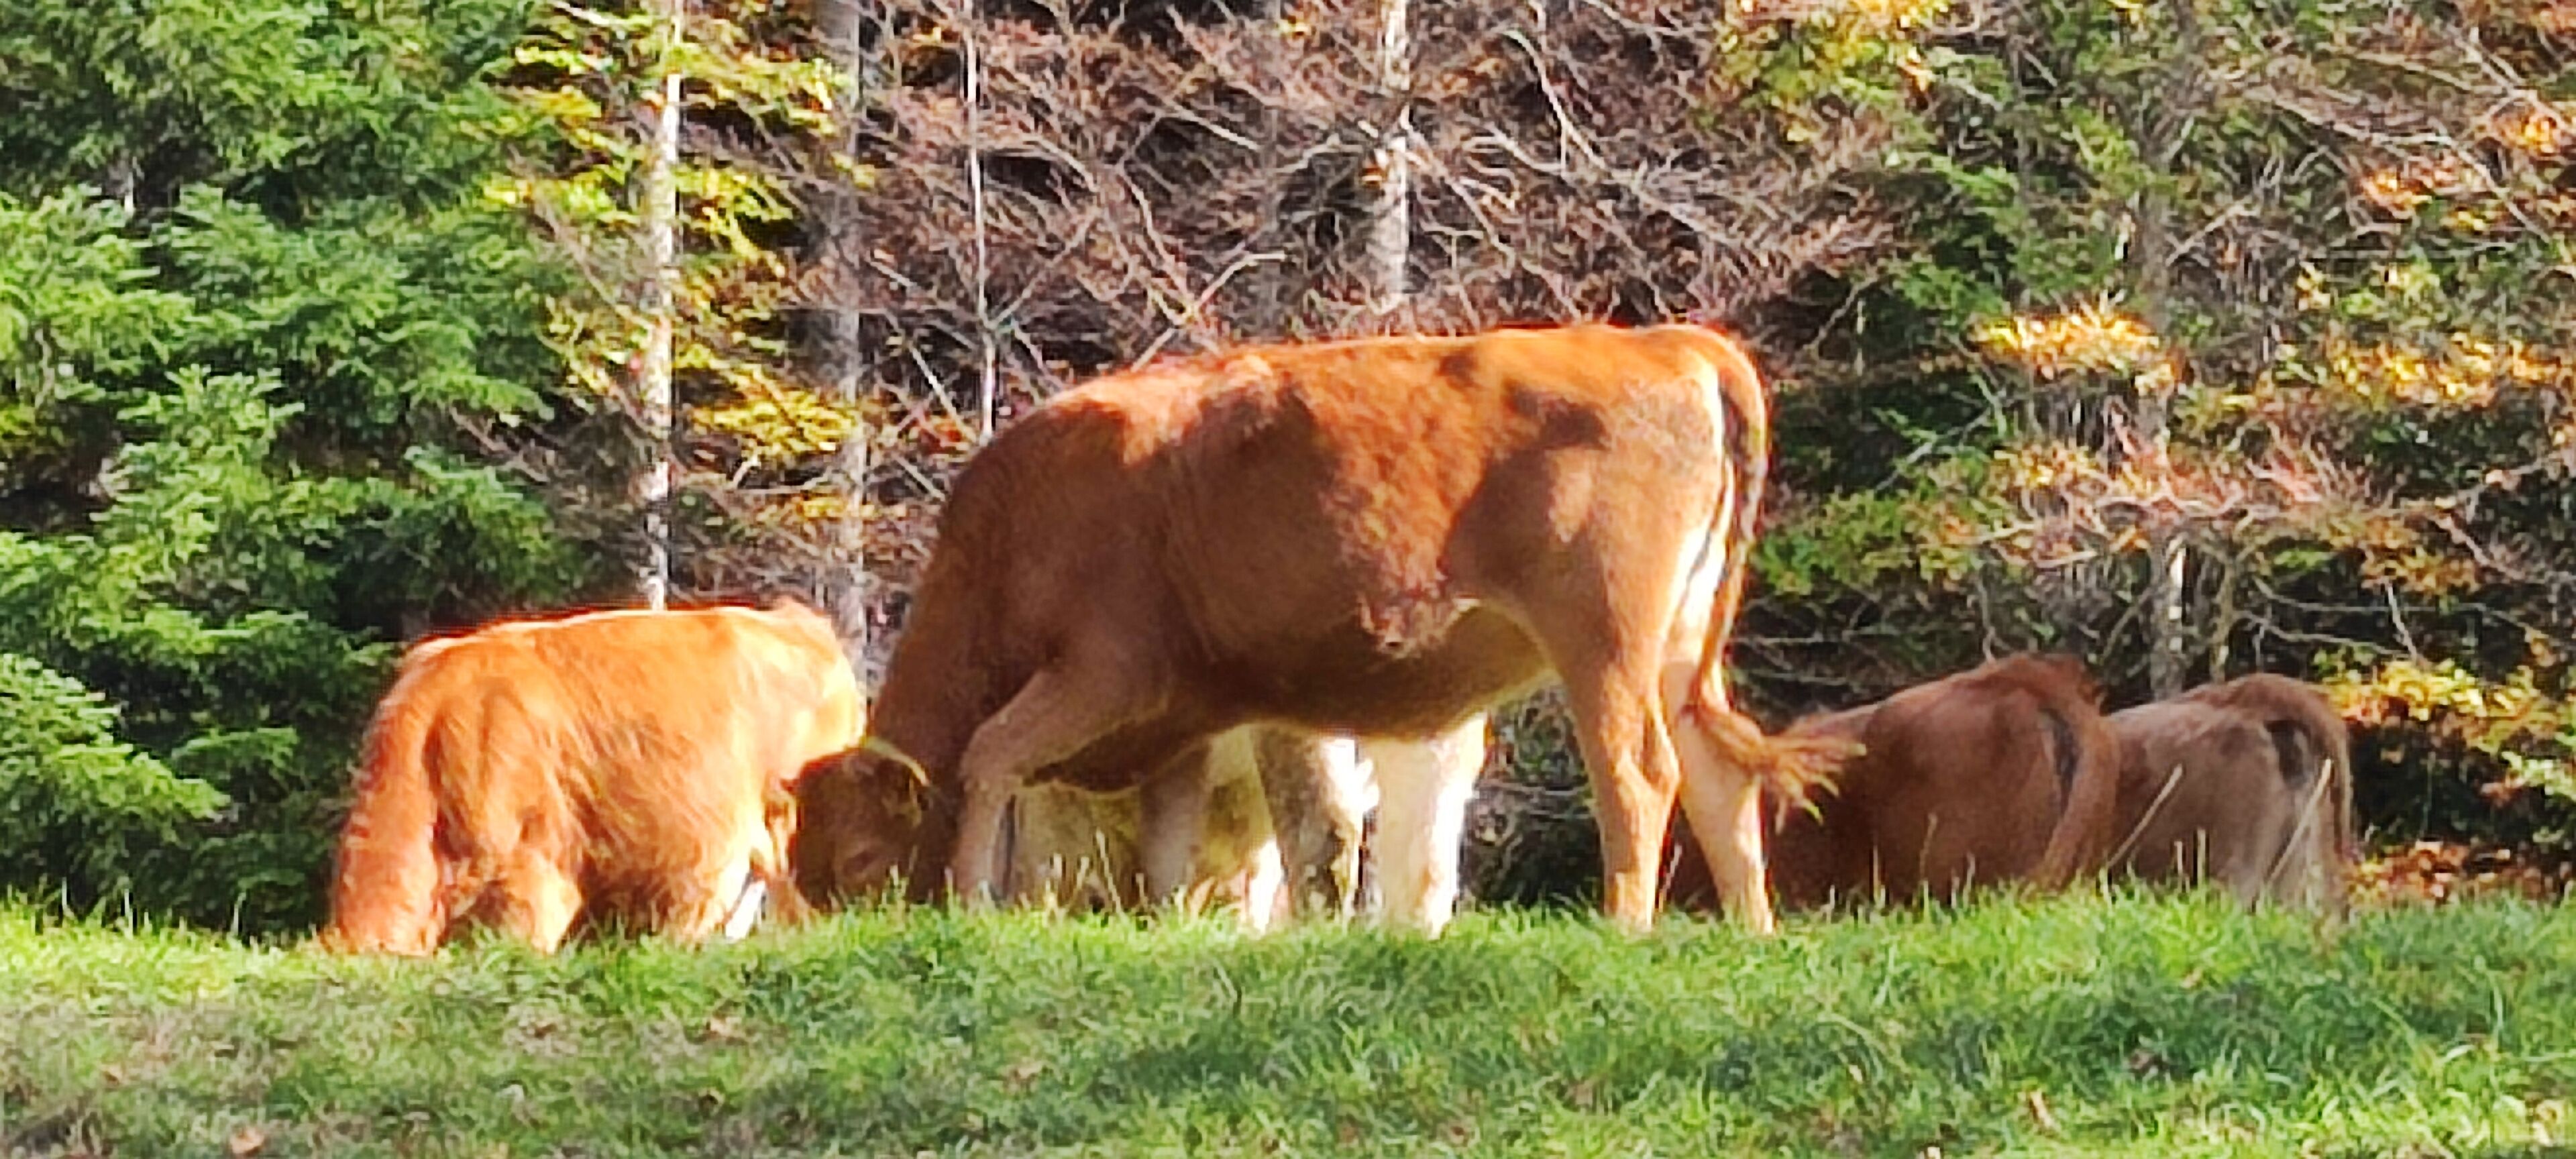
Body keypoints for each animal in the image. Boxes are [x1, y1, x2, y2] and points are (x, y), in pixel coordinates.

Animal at [791, 323, 1854, 934]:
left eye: (860, 860)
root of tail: (1673, 343)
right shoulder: (1180, 725)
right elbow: (1172, 849)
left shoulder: (1100, 674)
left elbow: (988, 759)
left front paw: (975, 901)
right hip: (1678, 646)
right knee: (1716, 775)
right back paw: (1752, 932)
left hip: (1603, 640)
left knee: (1636, 771)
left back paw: (1624, 927)